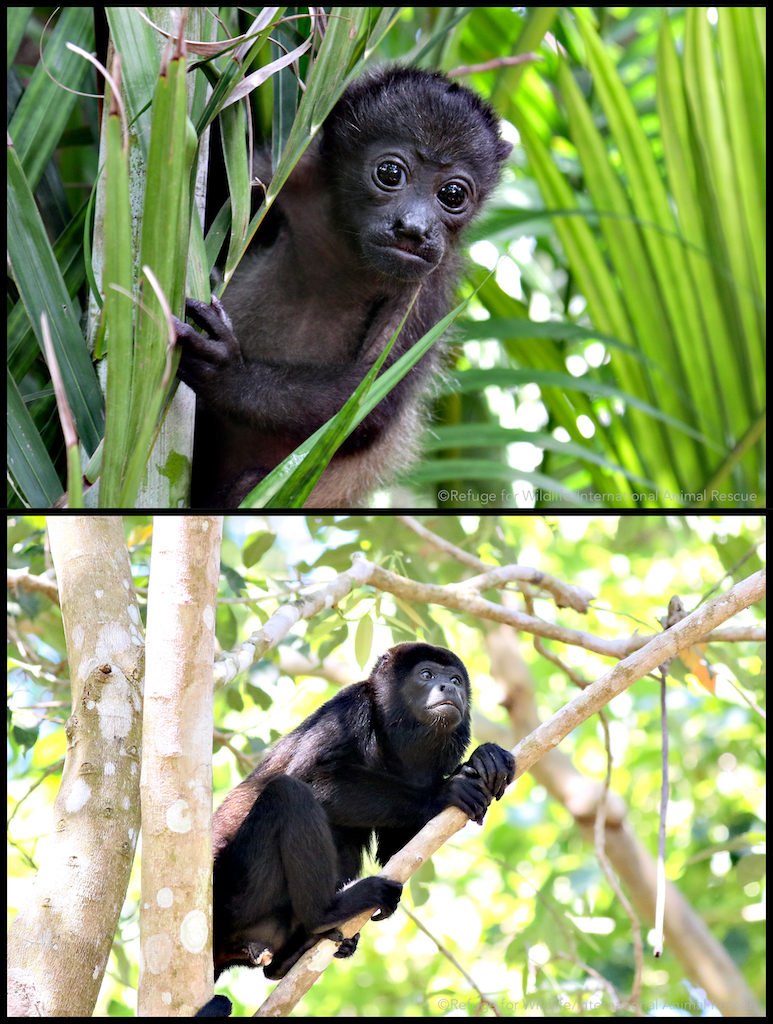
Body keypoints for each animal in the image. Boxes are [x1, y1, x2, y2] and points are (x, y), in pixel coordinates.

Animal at [175, 66, 512, 508]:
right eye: (390, 173)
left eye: (452, 194)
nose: (414, 228)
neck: (346, 249)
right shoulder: (286, 177)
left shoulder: (426, 288)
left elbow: (370, 403)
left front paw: (229, 374)